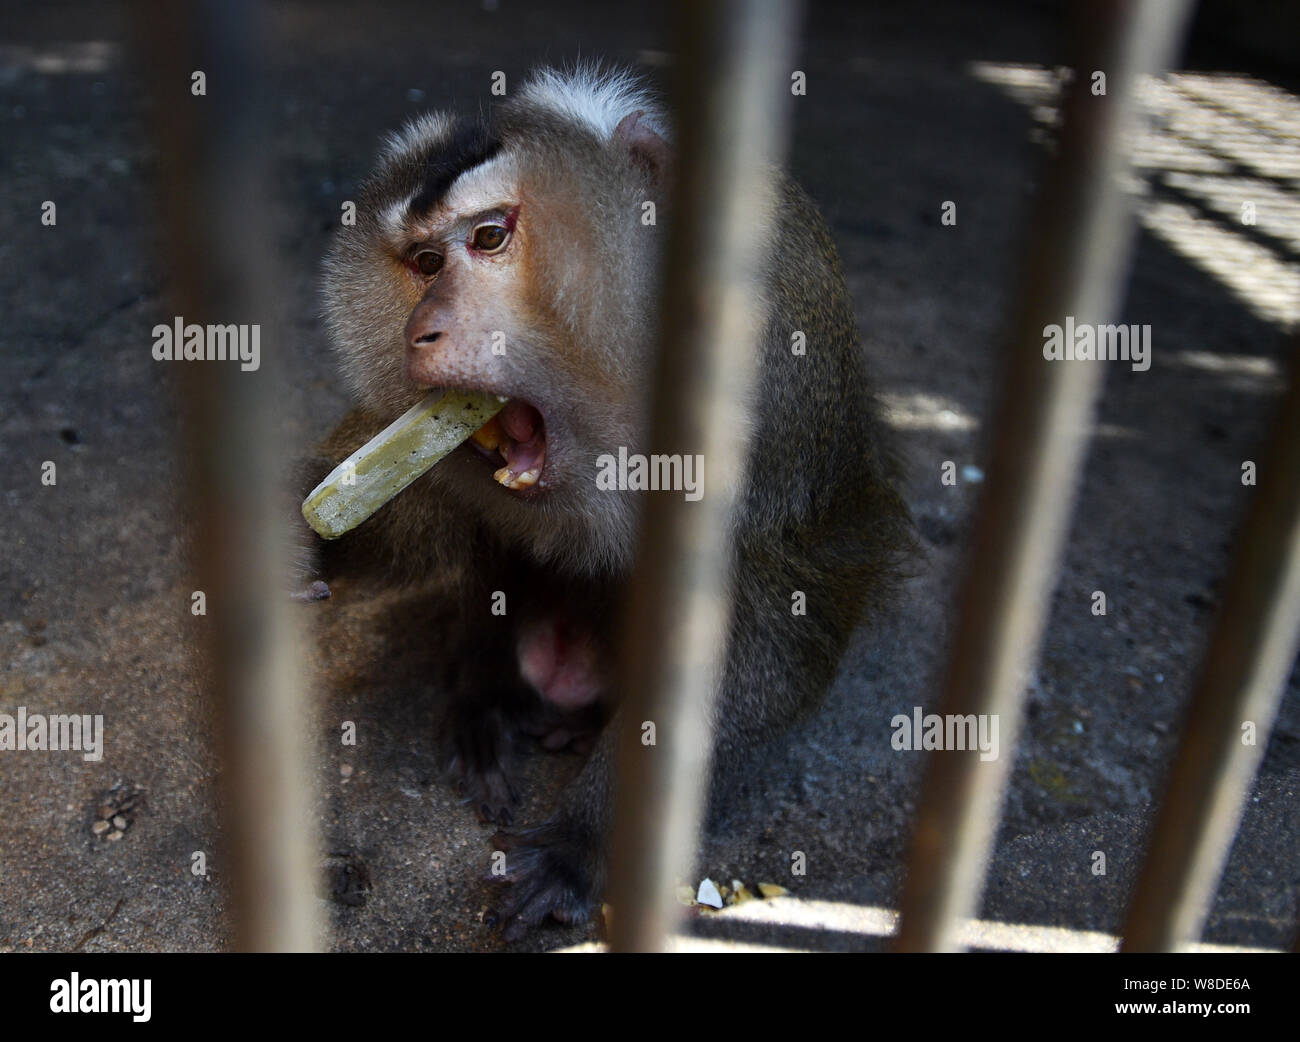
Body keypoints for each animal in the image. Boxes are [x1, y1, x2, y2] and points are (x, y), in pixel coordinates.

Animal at [299, 65, 915, 940]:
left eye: (491, 239)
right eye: (423, 260)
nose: (421, 332)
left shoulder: (773, 391)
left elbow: (768, 618)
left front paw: (582, 844)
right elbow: (418, 490)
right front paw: (306, 537)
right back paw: (486, 691)